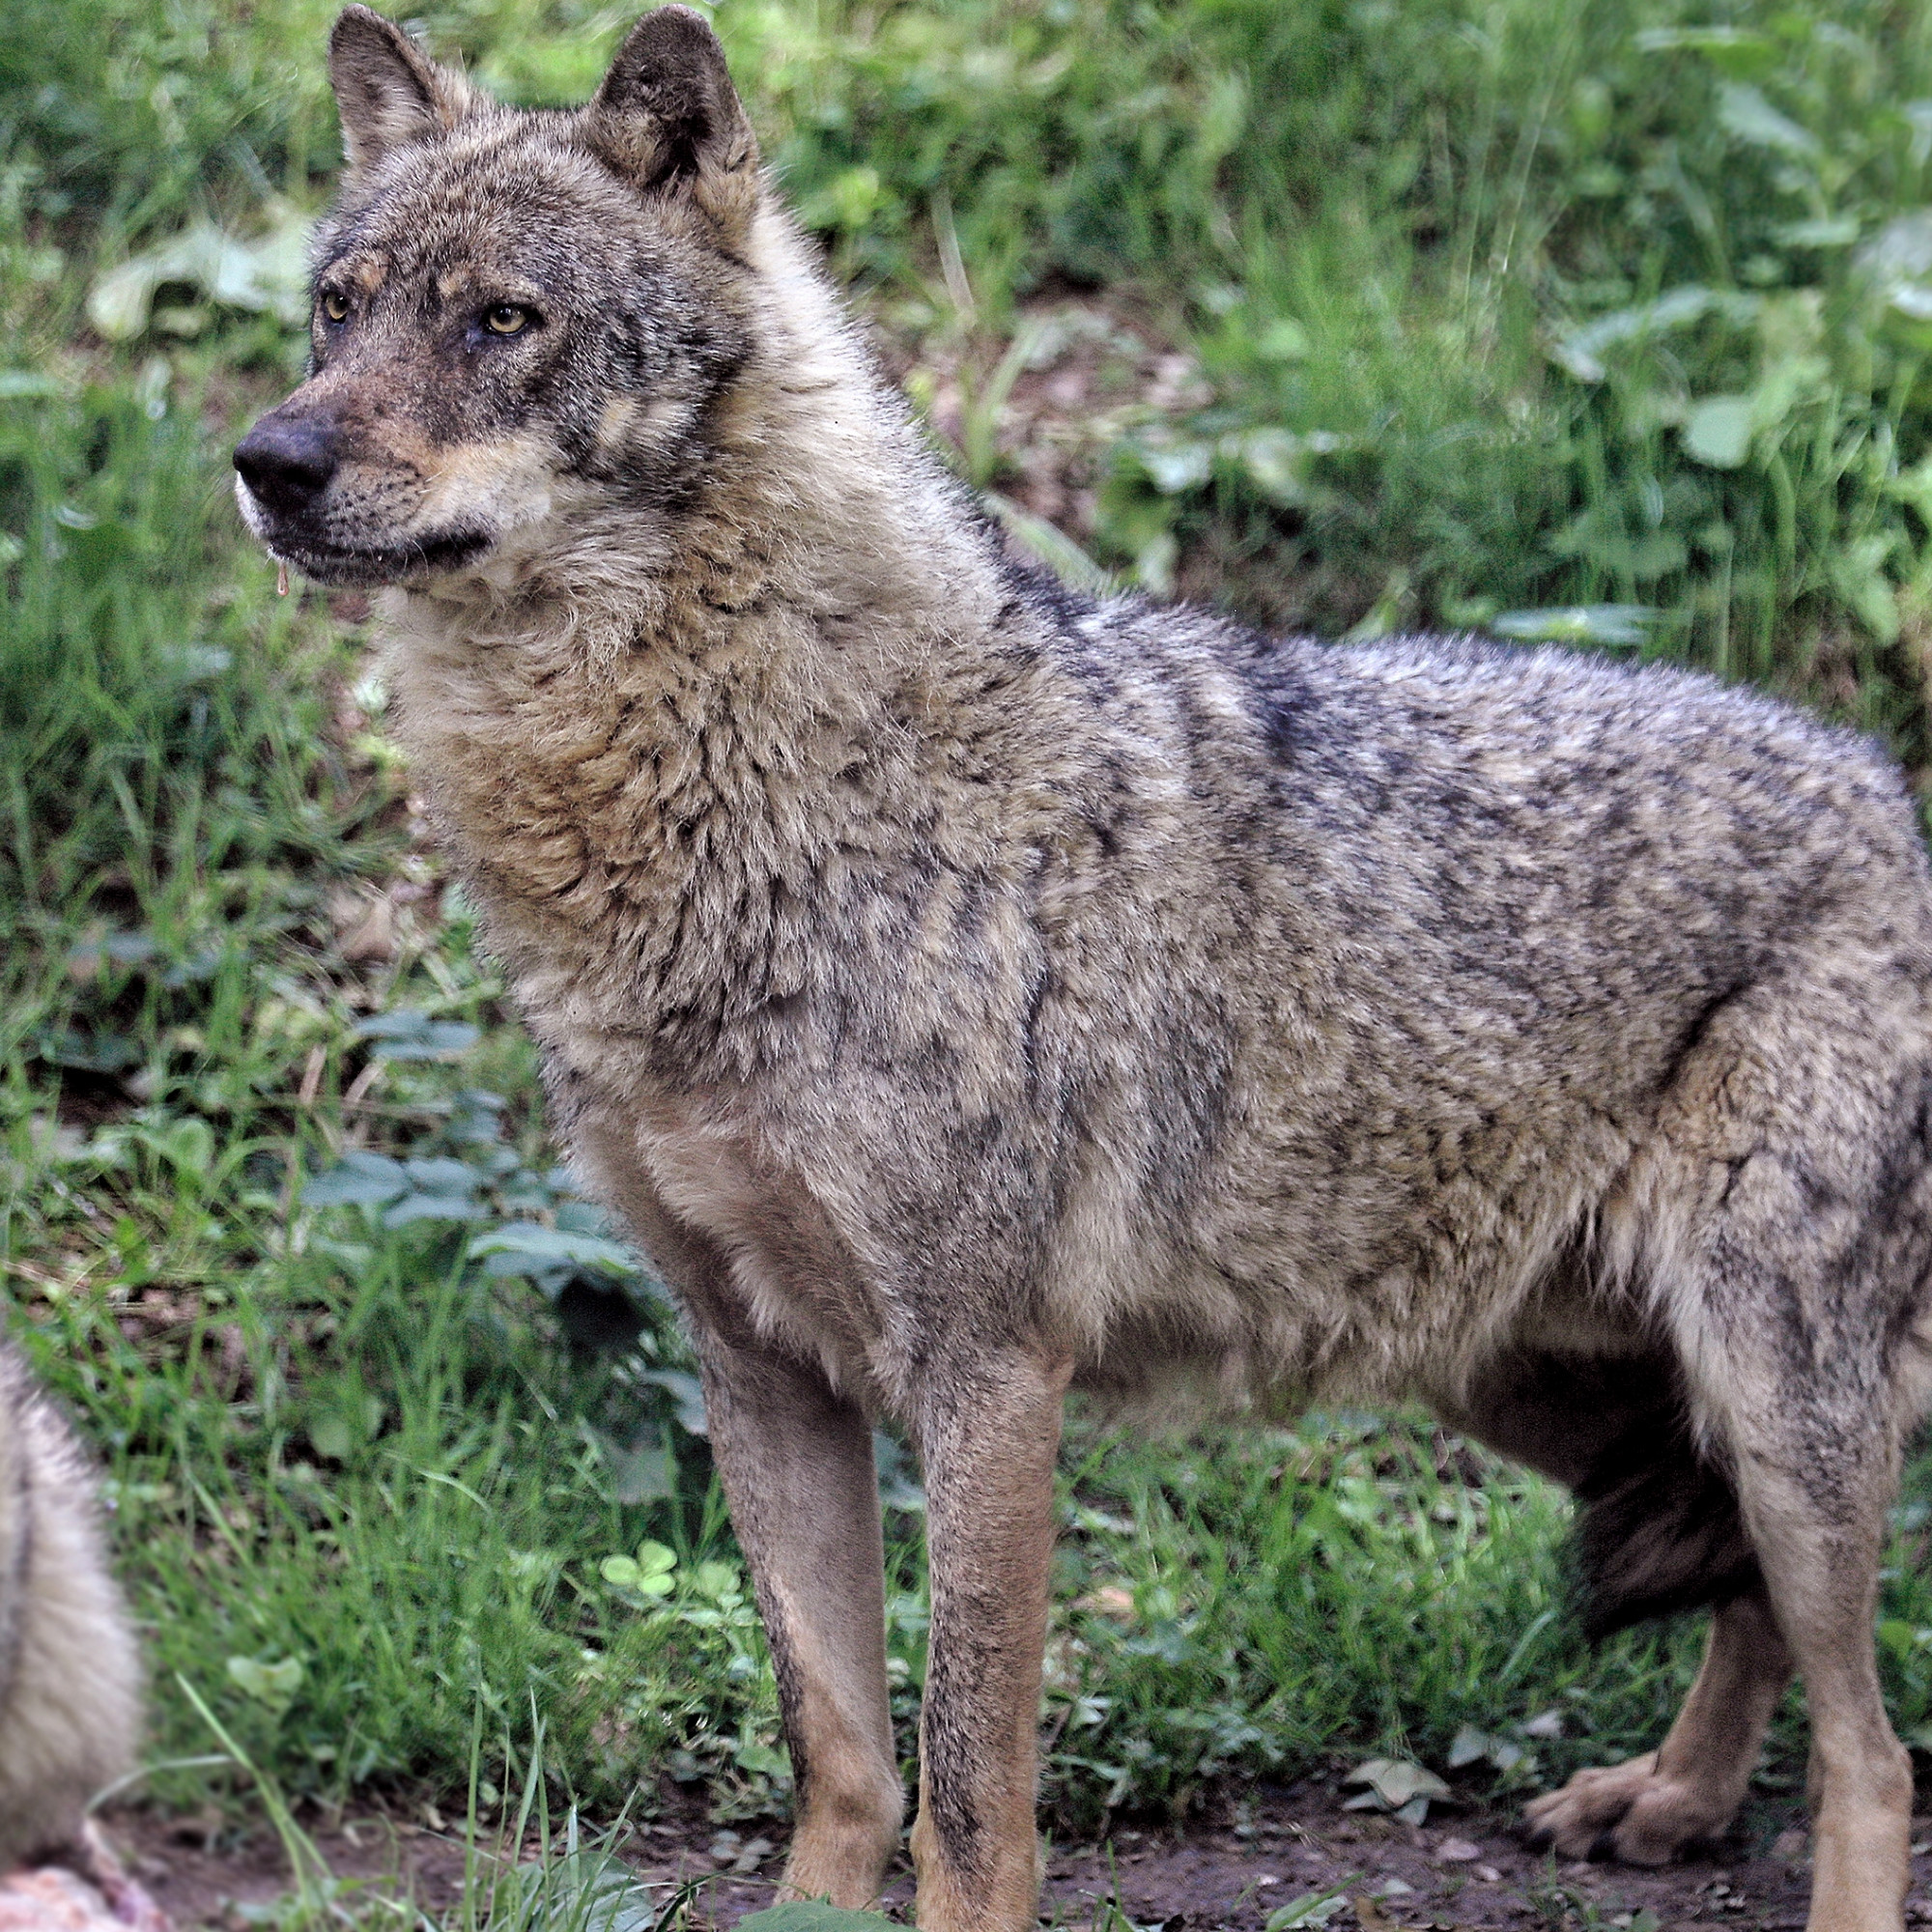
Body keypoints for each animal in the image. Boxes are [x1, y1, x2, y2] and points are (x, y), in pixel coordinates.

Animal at [233, 9, 1932, 1927]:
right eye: (339, 309)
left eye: (502, 321)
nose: (269, 461)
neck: (743, 796)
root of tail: (1880, 782)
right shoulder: (757, 1367)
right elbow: (839, 1751)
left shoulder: (988, 1377)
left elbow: (970, 1795)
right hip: (1545, 1395)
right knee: (1762, 1626)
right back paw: (1673, 1800)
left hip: (1772, 1408)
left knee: (1877, 1747)